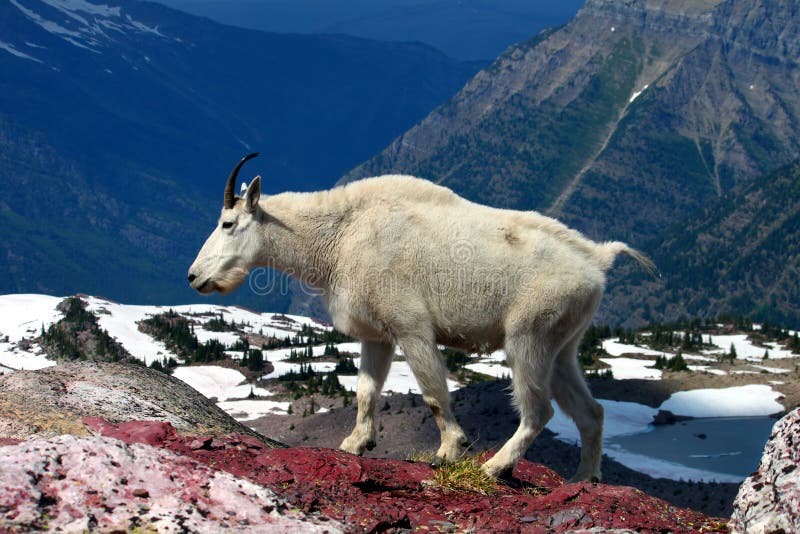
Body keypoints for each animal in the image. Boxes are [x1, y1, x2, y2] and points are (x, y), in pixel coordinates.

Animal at [188, 154, 655, 481]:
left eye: (227, 223)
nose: (194, 277)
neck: (341, 234)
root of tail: (596, 261)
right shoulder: (377, 335)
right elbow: (365, 391)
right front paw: (355, 444)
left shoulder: (411, 327)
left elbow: (433, 392)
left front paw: (449, 450)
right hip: (563, 345)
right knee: (591, 412)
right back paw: (584, 479)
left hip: (529, 336)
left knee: (538, 410)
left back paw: (495, 467)